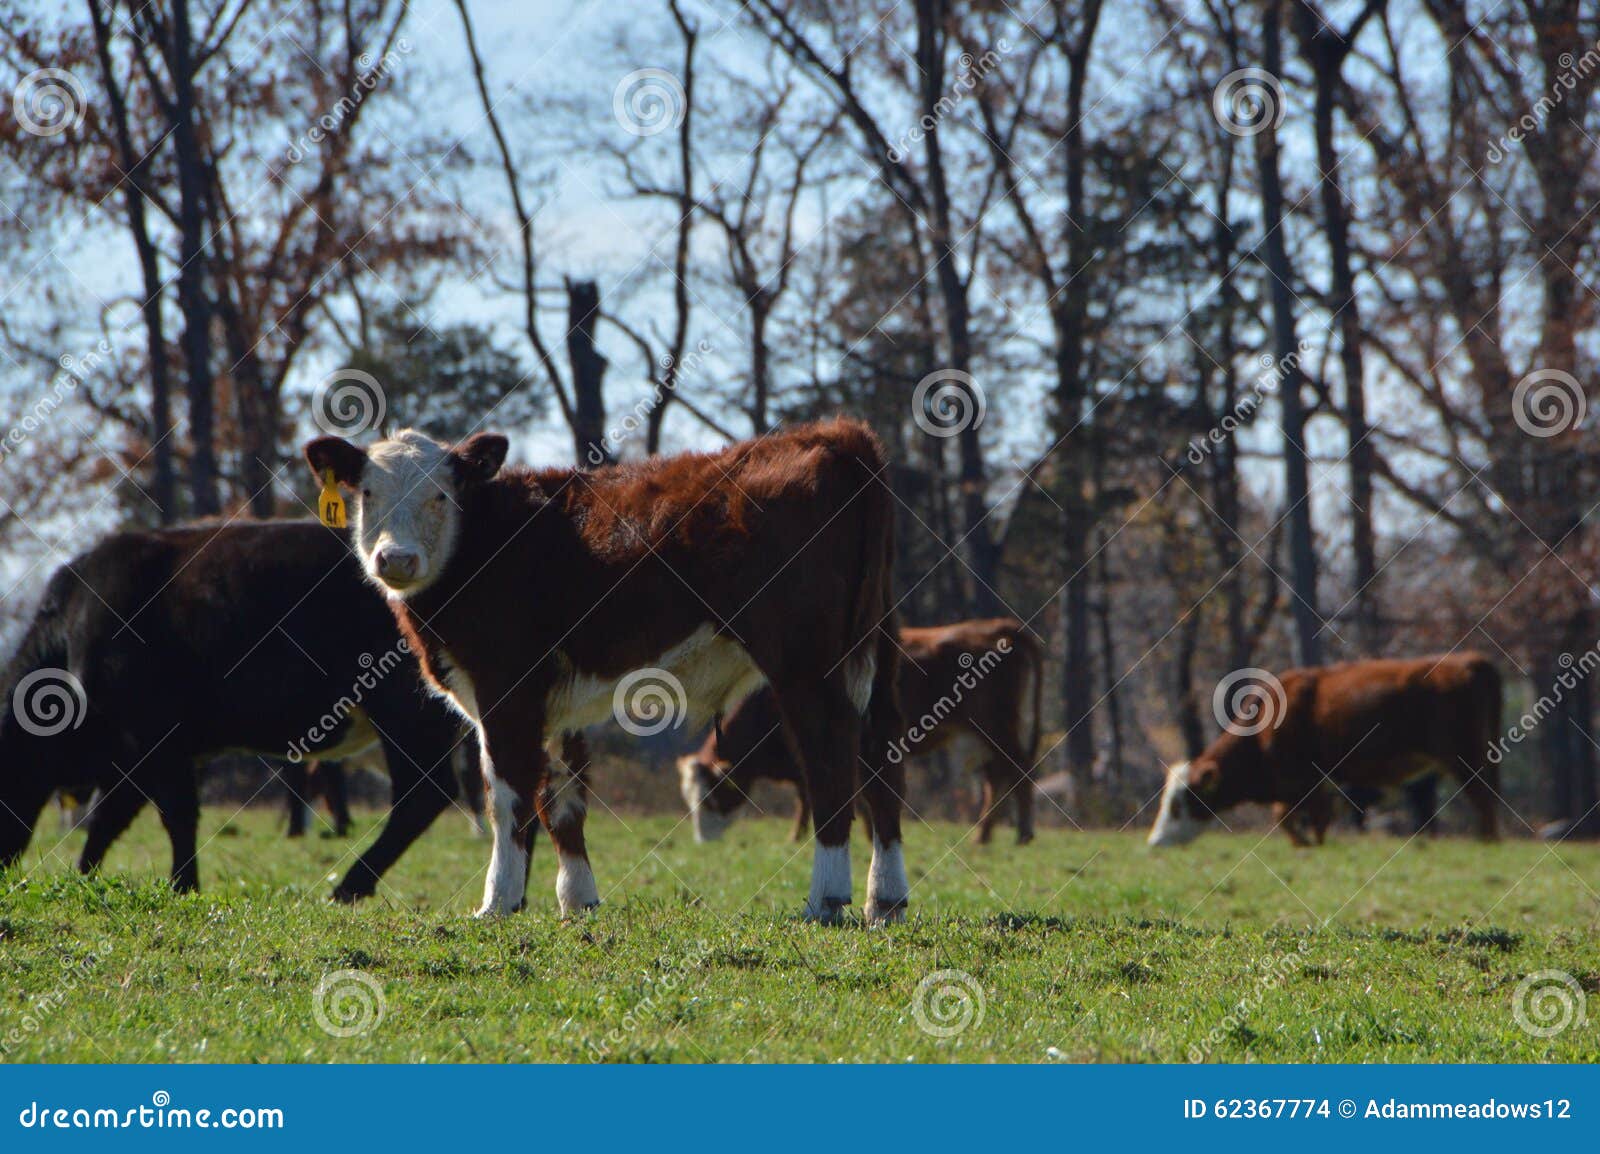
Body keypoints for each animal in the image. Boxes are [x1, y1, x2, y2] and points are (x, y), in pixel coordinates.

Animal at [0, 521, 467, 899]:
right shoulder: (141, 755)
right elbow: (110, 819)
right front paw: (86, 876)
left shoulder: (151, 742)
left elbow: (173, 816)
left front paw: (182, 886)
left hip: (406, 710)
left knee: (424, 794)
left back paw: (350, 887)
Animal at [305, 418, 906, 924]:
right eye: (367, 493)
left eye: (441, 495)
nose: (396, 559)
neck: (487, 543)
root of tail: (833, 435)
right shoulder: (555, 705)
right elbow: (562, 799)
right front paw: (578, 900)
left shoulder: (506, 689)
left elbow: (508, 794)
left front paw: (497, 903)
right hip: (877, 652)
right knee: (882, 759)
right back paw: (886, 901)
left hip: (806, 667)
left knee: (831, 762)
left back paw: (826, 898)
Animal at [679, 617, 1043, 845]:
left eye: (712, 797)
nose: (702, 841)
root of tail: (999, 626)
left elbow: (813, 795)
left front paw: (799, 835)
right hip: (979, 734)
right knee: (996, 778)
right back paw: (984, 835)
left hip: (997, 727)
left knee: (1019, 770)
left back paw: (1023, 834)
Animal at [1148, 652, 1503, 848]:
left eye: (1178, 805)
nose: (1155, 841)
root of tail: (1469, 661)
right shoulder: (1310, 784)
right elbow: (1291, 816)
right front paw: (1306, 842)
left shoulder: (1305, 781)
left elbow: (1298, 817)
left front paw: (1311, 844)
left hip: (1465, 757)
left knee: (1483, 800)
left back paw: (1486, 843)